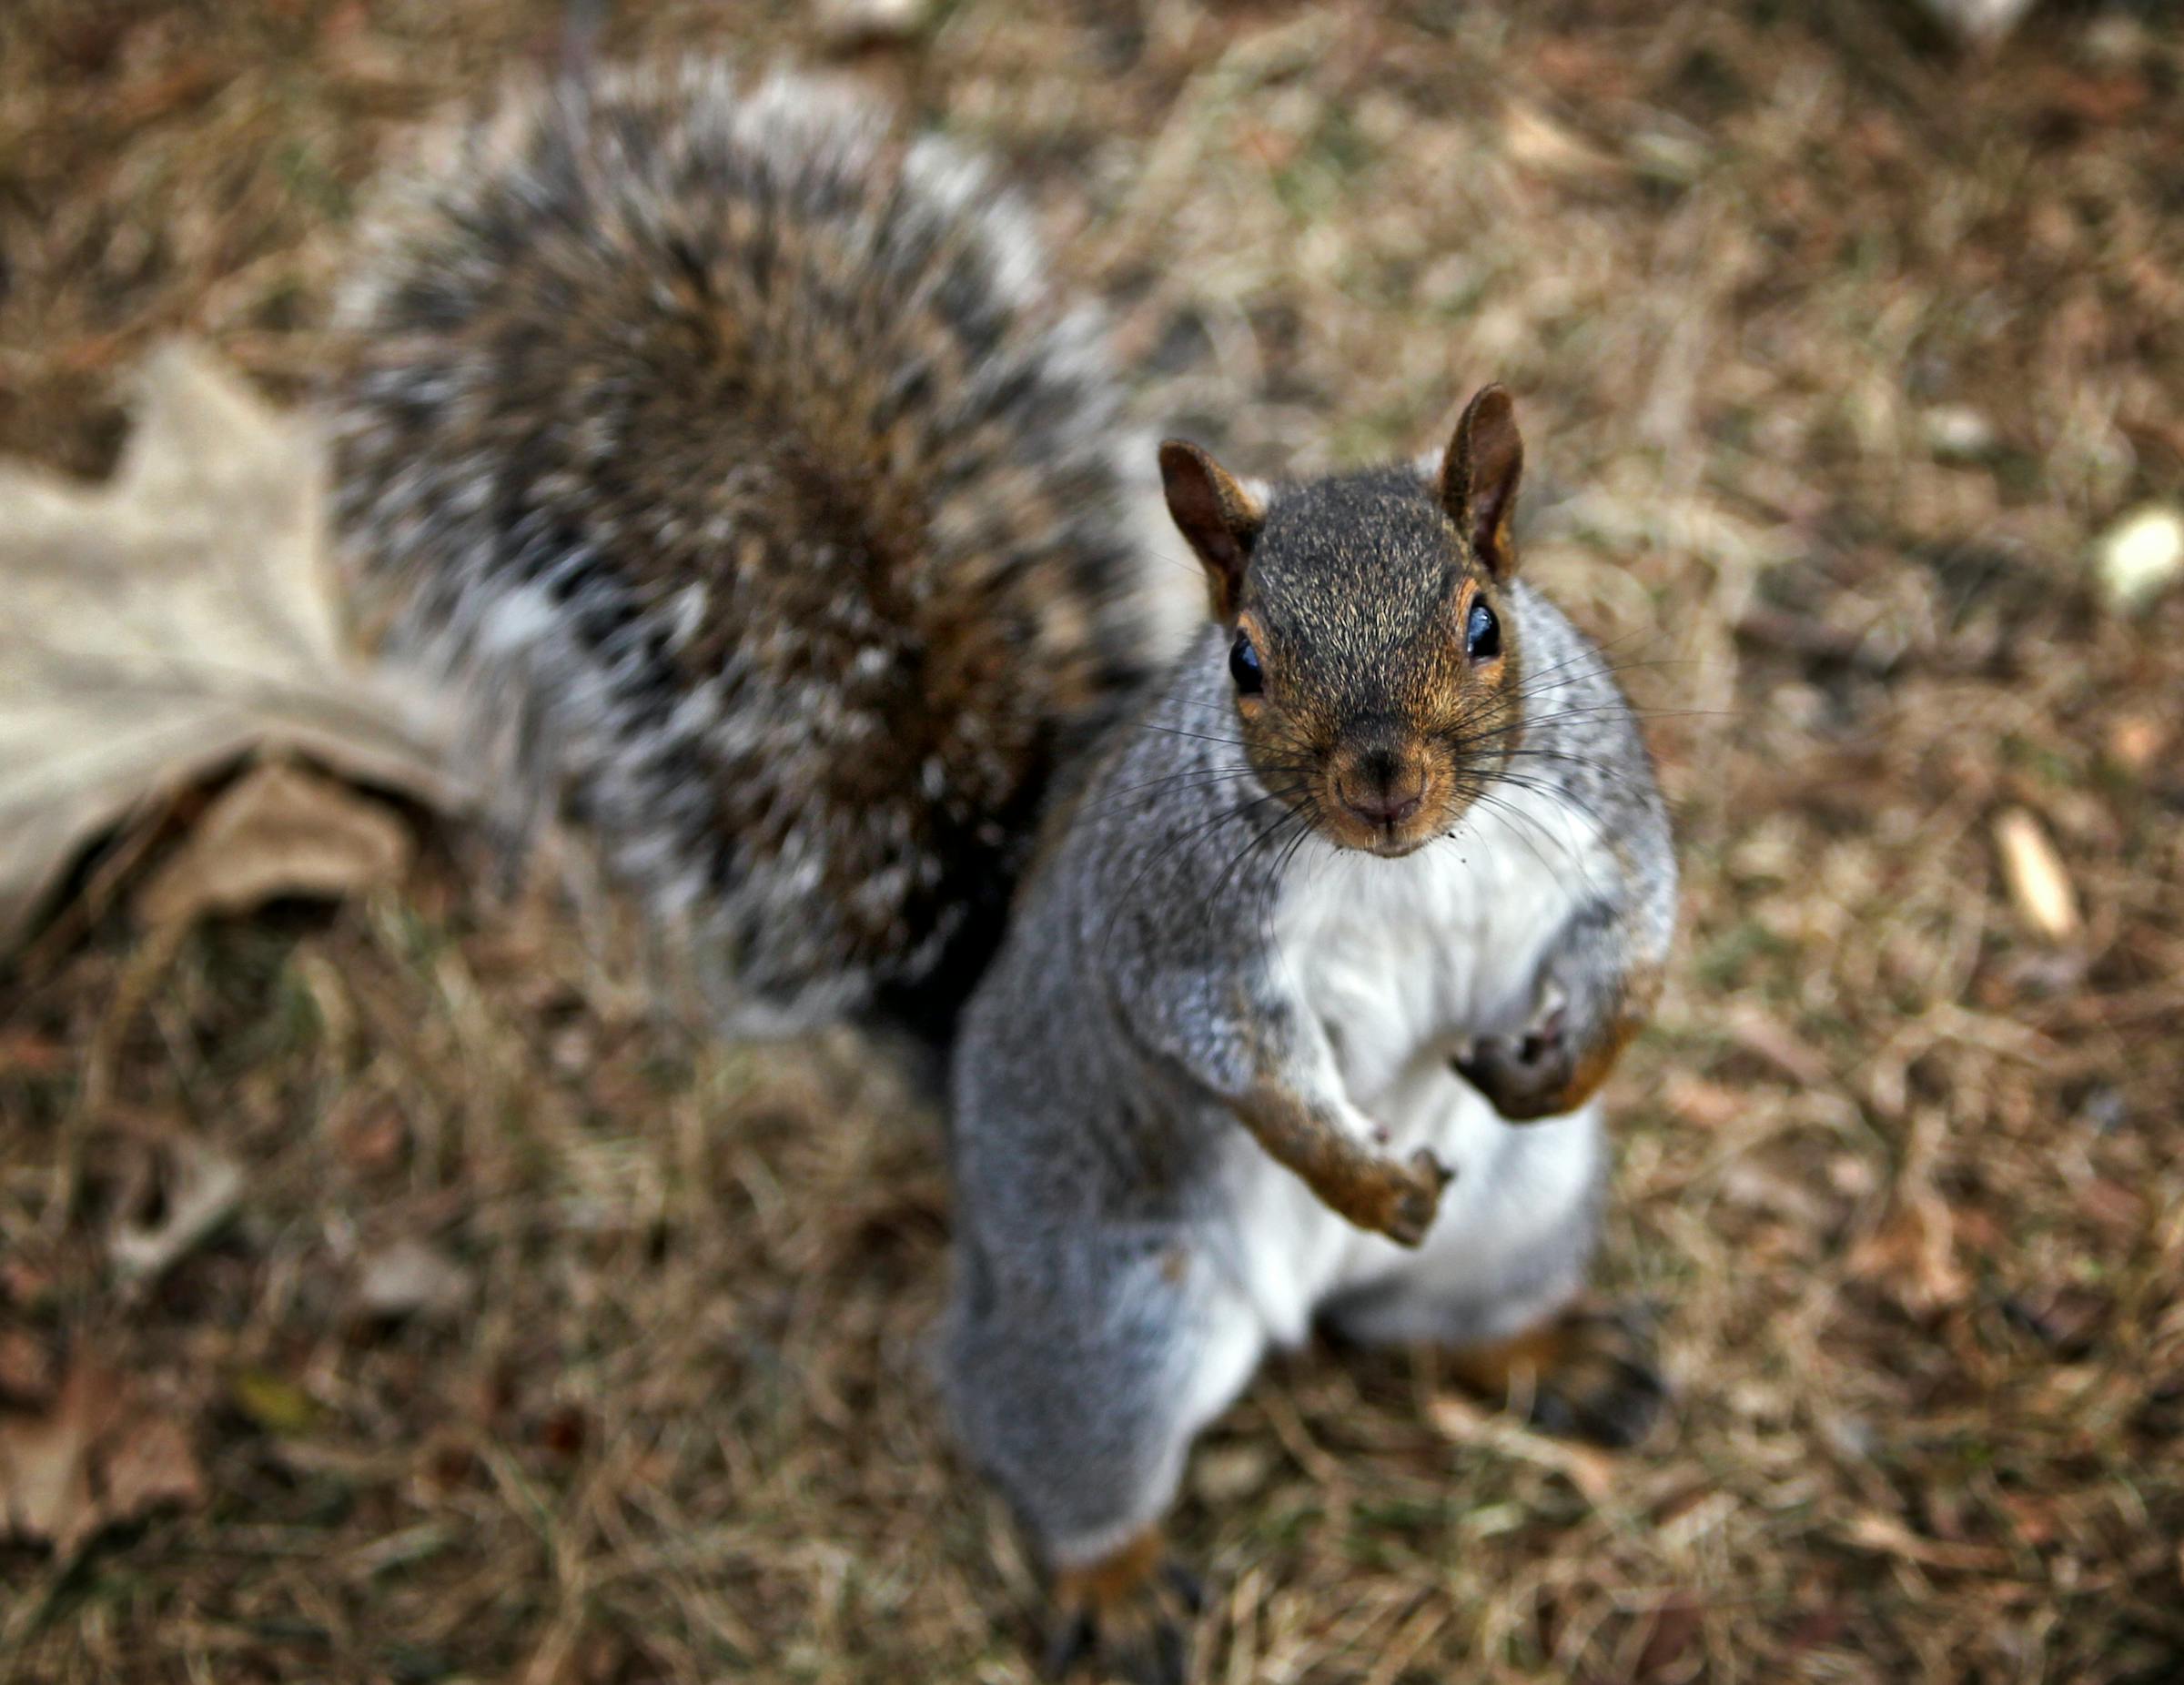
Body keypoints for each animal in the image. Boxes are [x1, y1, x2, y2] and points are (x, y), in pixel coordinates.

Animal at [325, 59, 1677, 1685]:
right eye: (1243, 662)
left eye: (1486, 624)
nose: (1383, 780)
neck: (1406, 860)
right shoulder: (1172, 917)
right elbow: (1219, 1040)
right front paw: (1342, 1161)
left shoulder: (1603, 809)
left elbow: (1644, 919)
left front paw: (1584, 1046)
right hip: (1102, 1326)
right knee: (1036, 1431)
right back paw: (1116, 1581)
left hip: (1518, 1208)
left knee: (1437, 1315)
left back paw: (1550, 1348)